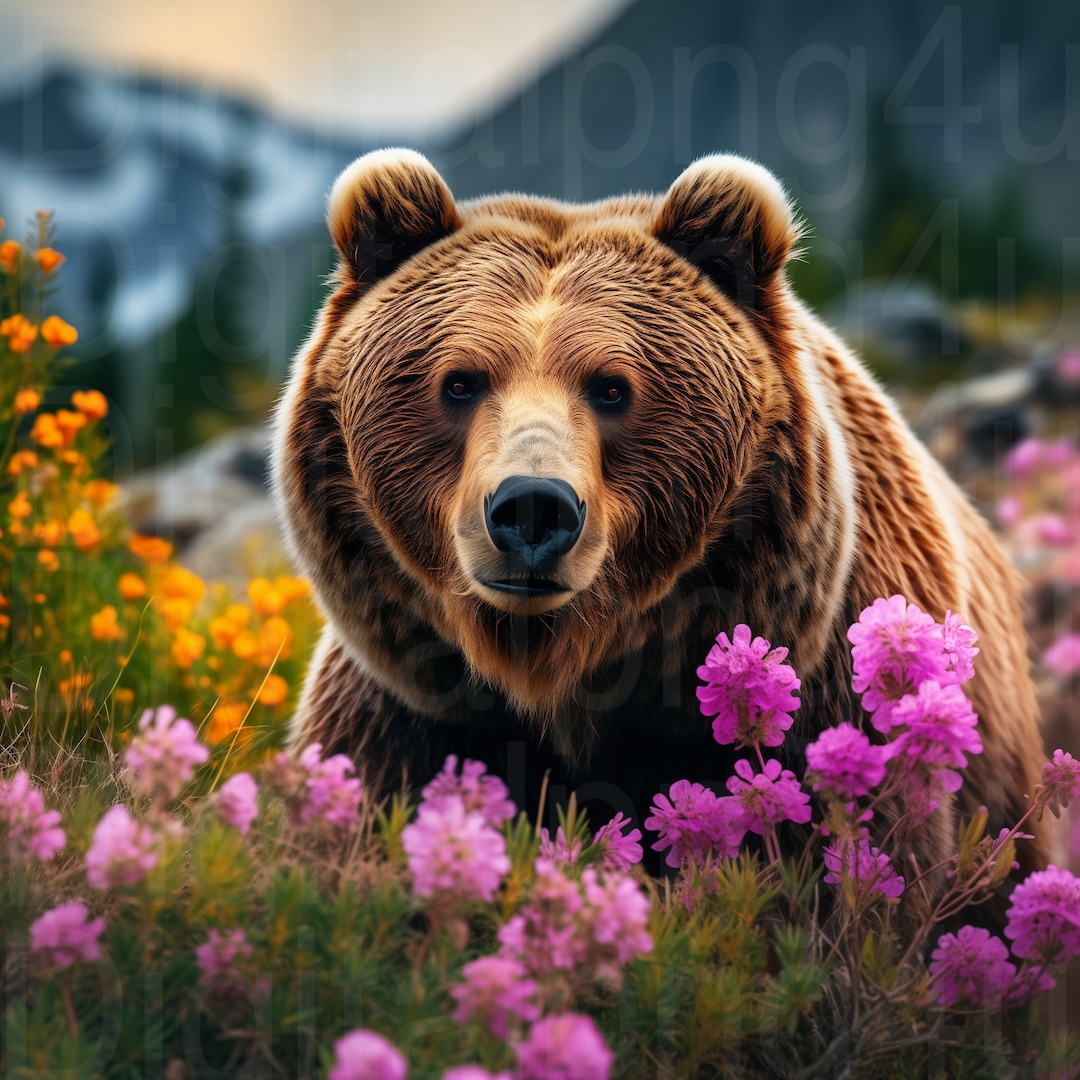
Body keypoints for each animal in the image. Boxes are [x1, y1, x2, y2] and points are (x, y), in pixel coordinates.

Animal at [271, 148, 1047, 878]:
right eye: (459, 382)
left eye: (612, 387)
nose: (532, 508)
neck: (570, 681)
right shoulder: (409, 715)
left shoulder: (826, 696)